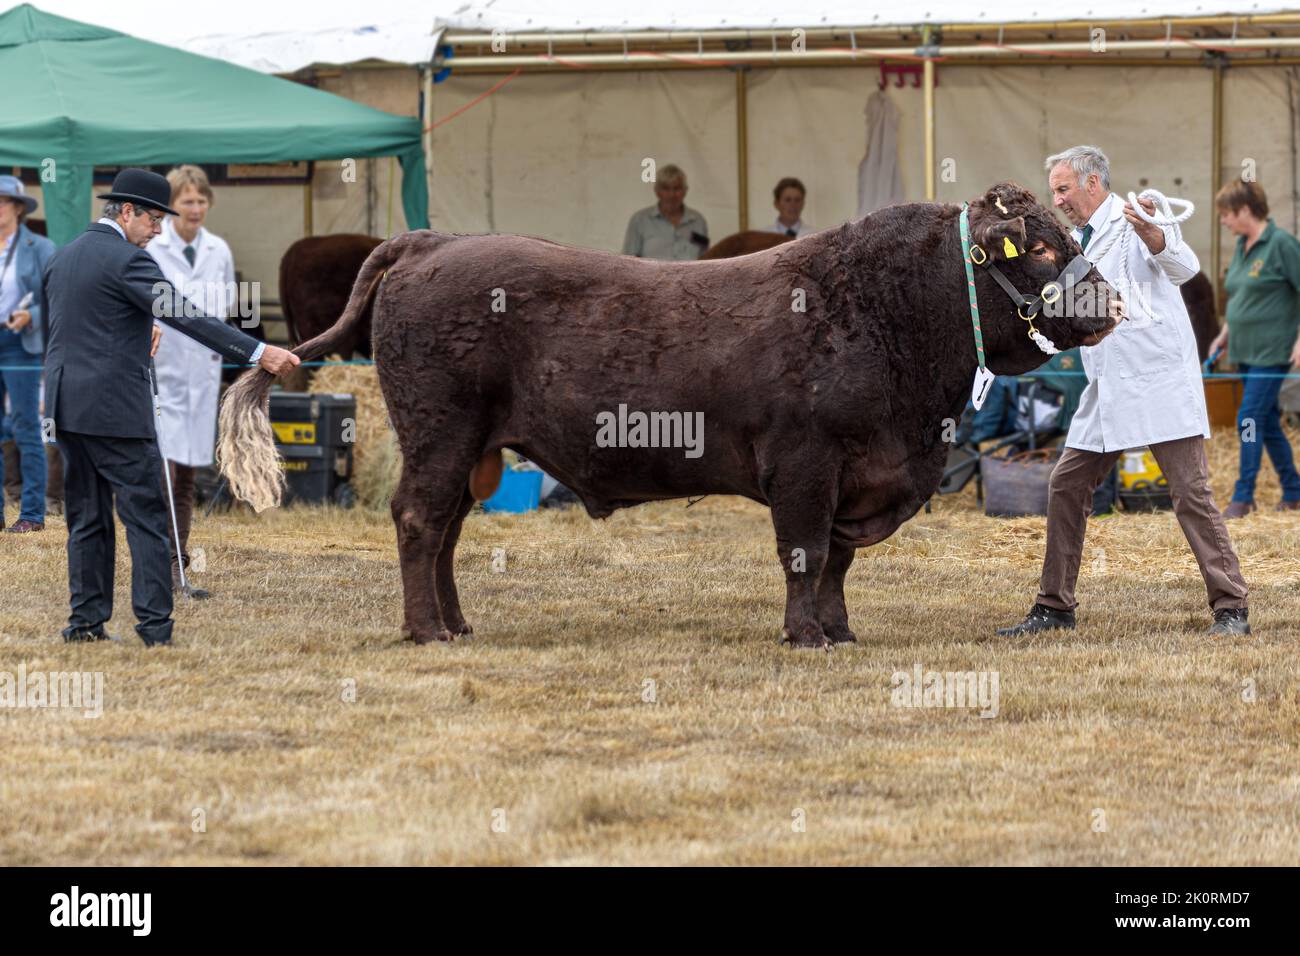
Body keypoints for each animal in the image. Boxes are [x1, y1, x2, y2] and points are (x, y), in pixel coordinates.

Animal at [219, 182, 1120, 649]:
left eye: (1072, 233)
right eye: (1041, 247)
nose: (1110, 303)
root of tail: (432, 241)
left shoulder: (859, 474)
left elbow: (835, 561)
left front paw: (838, 631)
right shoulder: (807, 463)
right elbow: (805, 553)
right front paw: (806, 635)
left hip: (469, 447)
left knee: (444, 529)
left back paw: (458, 622)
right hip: (439, 432)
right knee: (417, 519)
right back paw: (426, 631)